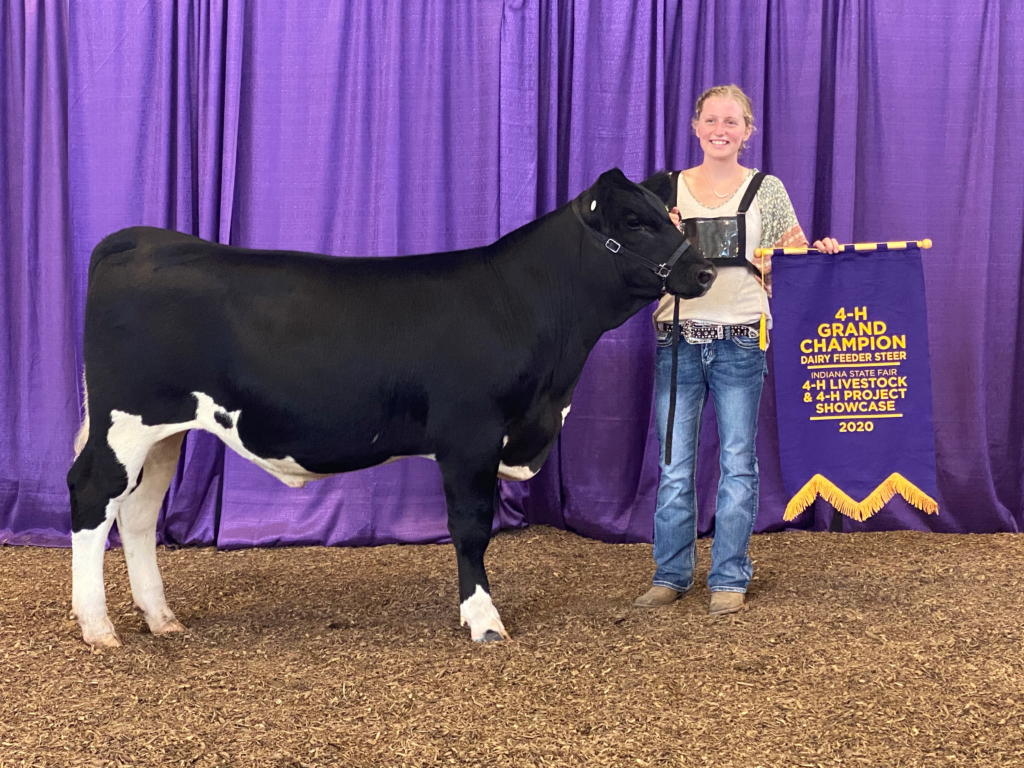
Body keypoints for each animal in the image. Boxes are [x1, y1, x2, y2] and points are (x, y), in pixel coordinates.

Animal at [67, 168, 716, 648]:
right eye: (635, 222)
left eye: (668, 218)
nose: (706, 271)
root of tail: (139, 239)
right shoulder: (471, 435)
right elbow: (471, 527)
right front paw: (483, 621)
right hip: (126, 423)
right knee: (93, 494)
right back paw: (98, 627)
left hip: (165, 432)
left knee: (139, 513)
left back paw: (161, 618)